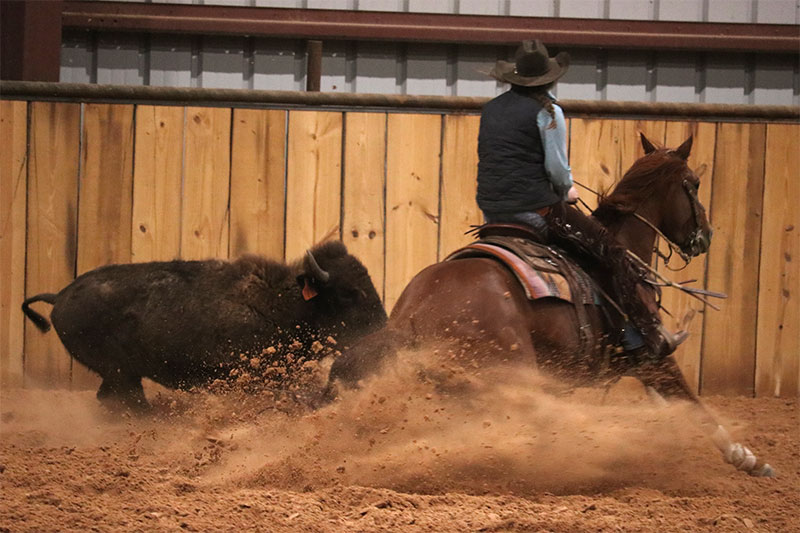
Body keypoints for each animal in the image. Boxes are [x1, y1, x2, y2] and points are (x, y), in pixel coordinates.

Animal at [326, 133, 774, 478]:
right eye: (693, 183)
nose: (706, 236)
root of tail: (413, 312)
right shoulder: (653, 354)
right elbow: (692, 403)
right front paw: (747, 458)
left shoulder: (636, 363)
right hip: (507, 375)